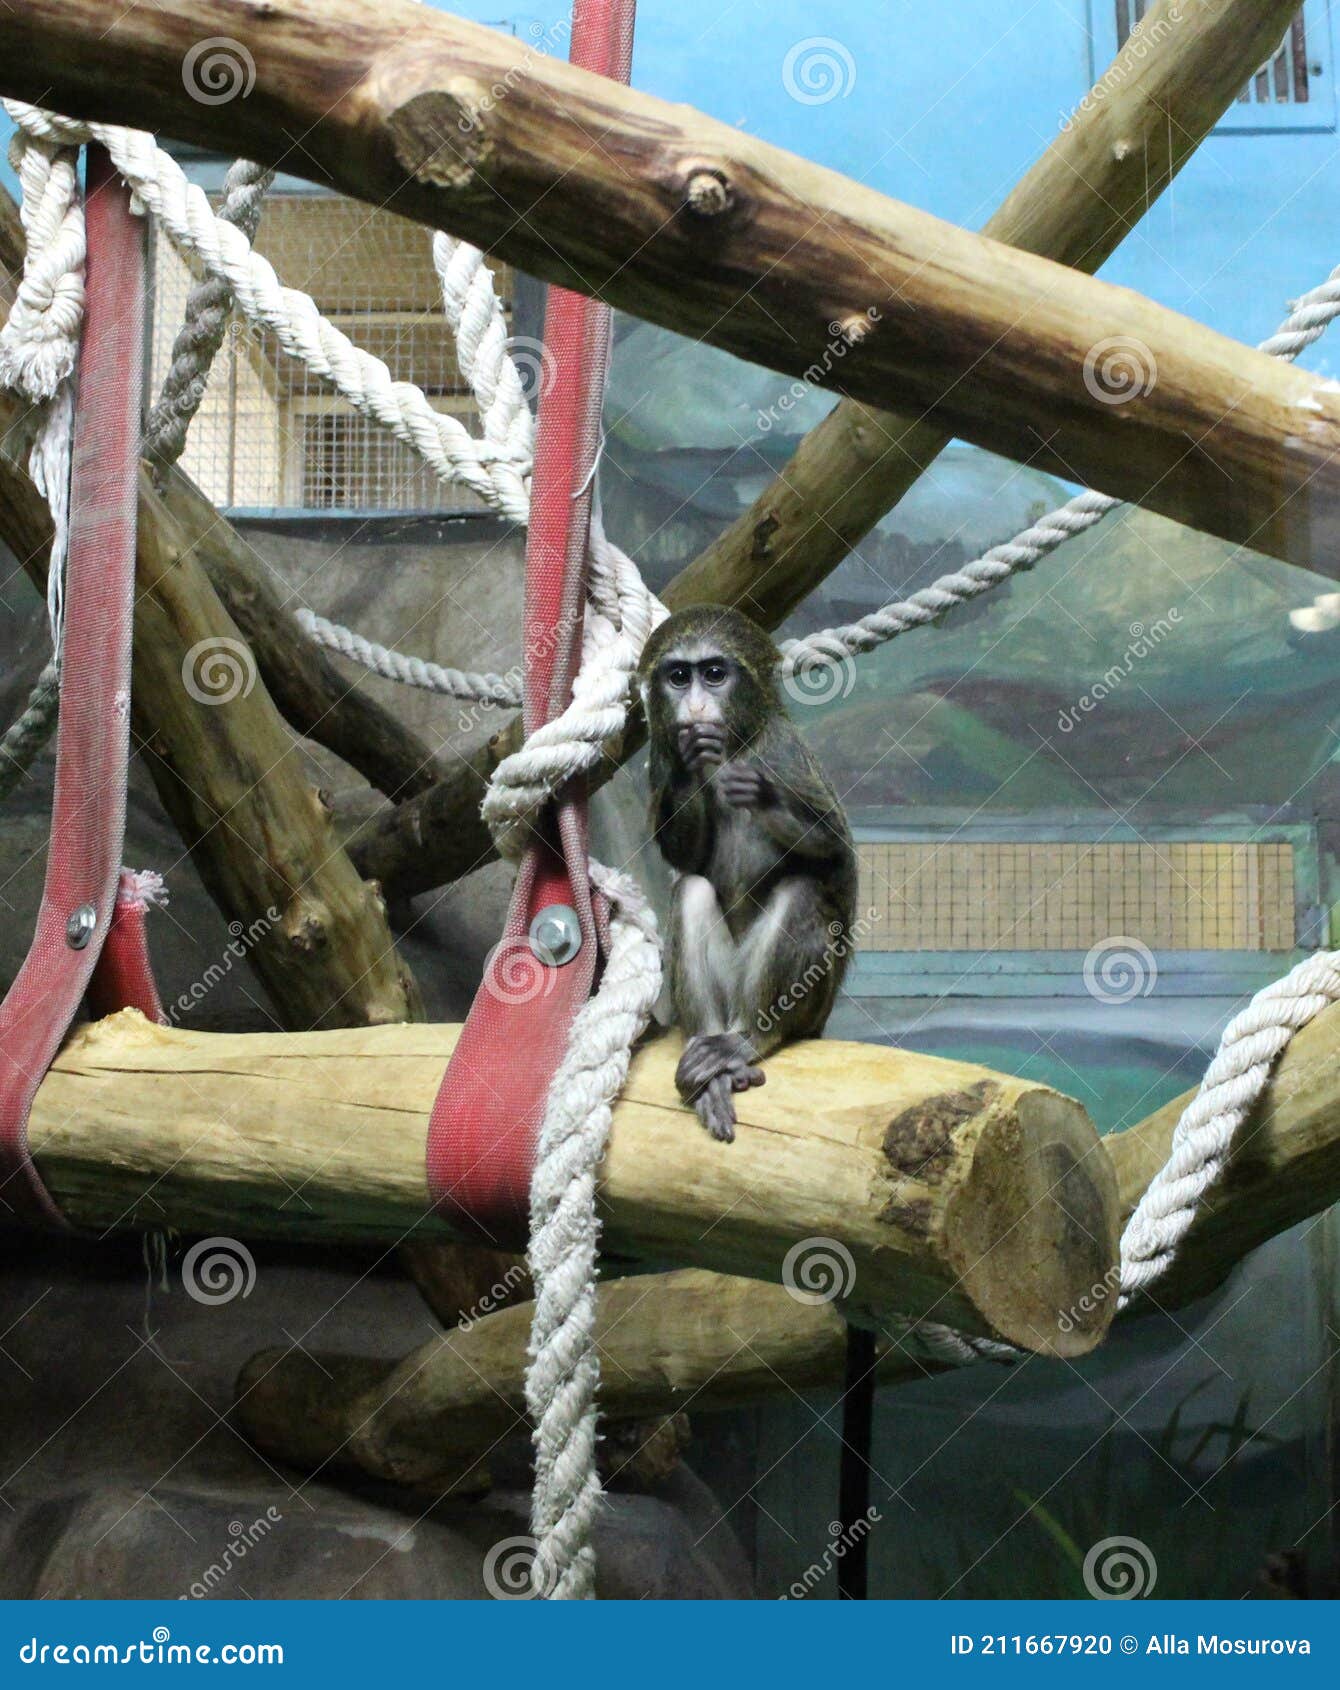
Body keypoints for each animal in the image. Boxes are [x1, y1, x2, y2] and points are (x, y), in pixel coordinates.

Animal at [638, 604, 857, 1142]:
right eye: (679, 677)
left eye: (714, 674)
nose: (696, 708)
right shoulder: (659, 754)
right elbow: (687, 860)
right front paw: (689, 770)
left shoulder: (784, 753)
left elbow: (836, 853)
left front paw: (761, 795)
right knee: (691, 890)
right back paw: (711, 1062)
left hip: (811, 1008)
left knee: (802, 891)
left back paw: (753, 1039)